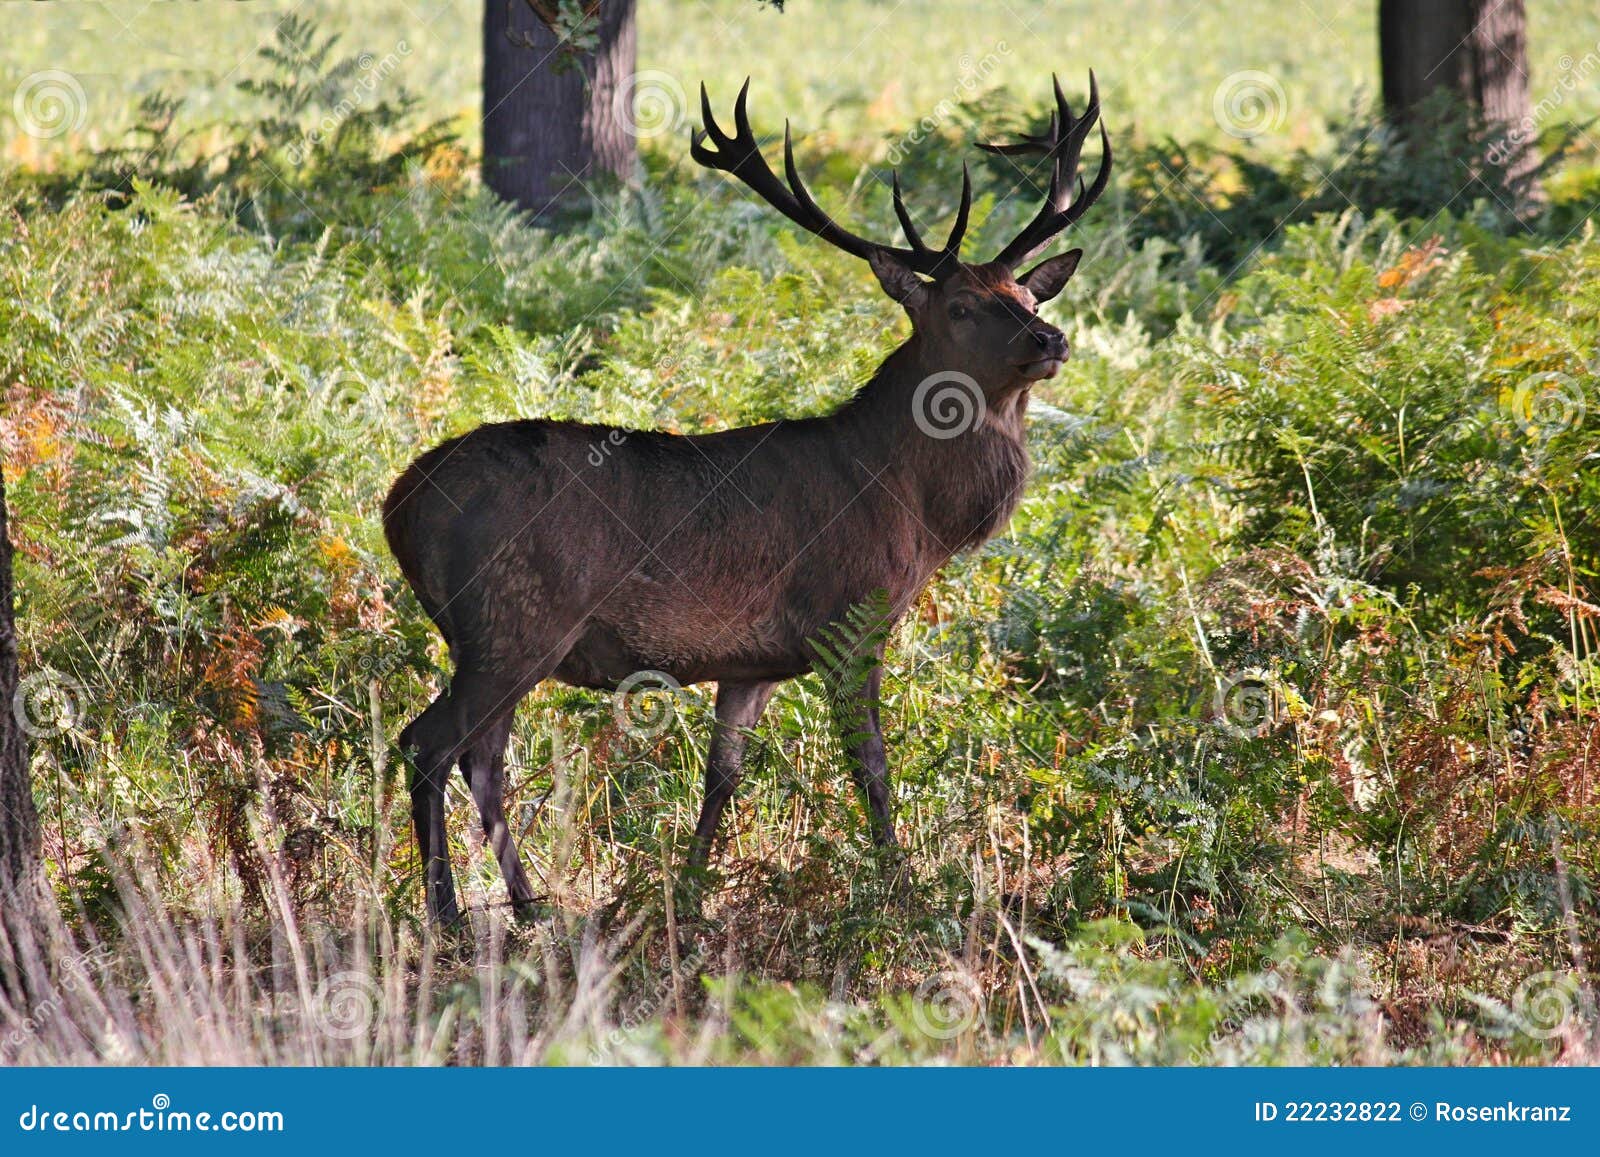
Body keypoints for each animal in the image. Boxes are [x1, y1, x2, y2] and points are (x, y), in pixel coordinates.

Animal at [383, 74, 1112, 923]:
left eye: (1026, 294)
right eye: (961, 306)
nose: (1049, 339)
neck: (913, 510)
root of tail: (398, 503)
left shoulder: (750, 663)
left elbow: (722, 775)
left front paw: (692, 891)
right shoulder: (846, 615)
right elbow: (871, 764)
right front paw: (899, 890)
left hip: (497, 634)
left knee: (484, 758)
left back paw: (533, 908)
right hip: (512, 618)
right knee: (428, 742)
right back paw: (448, 917)